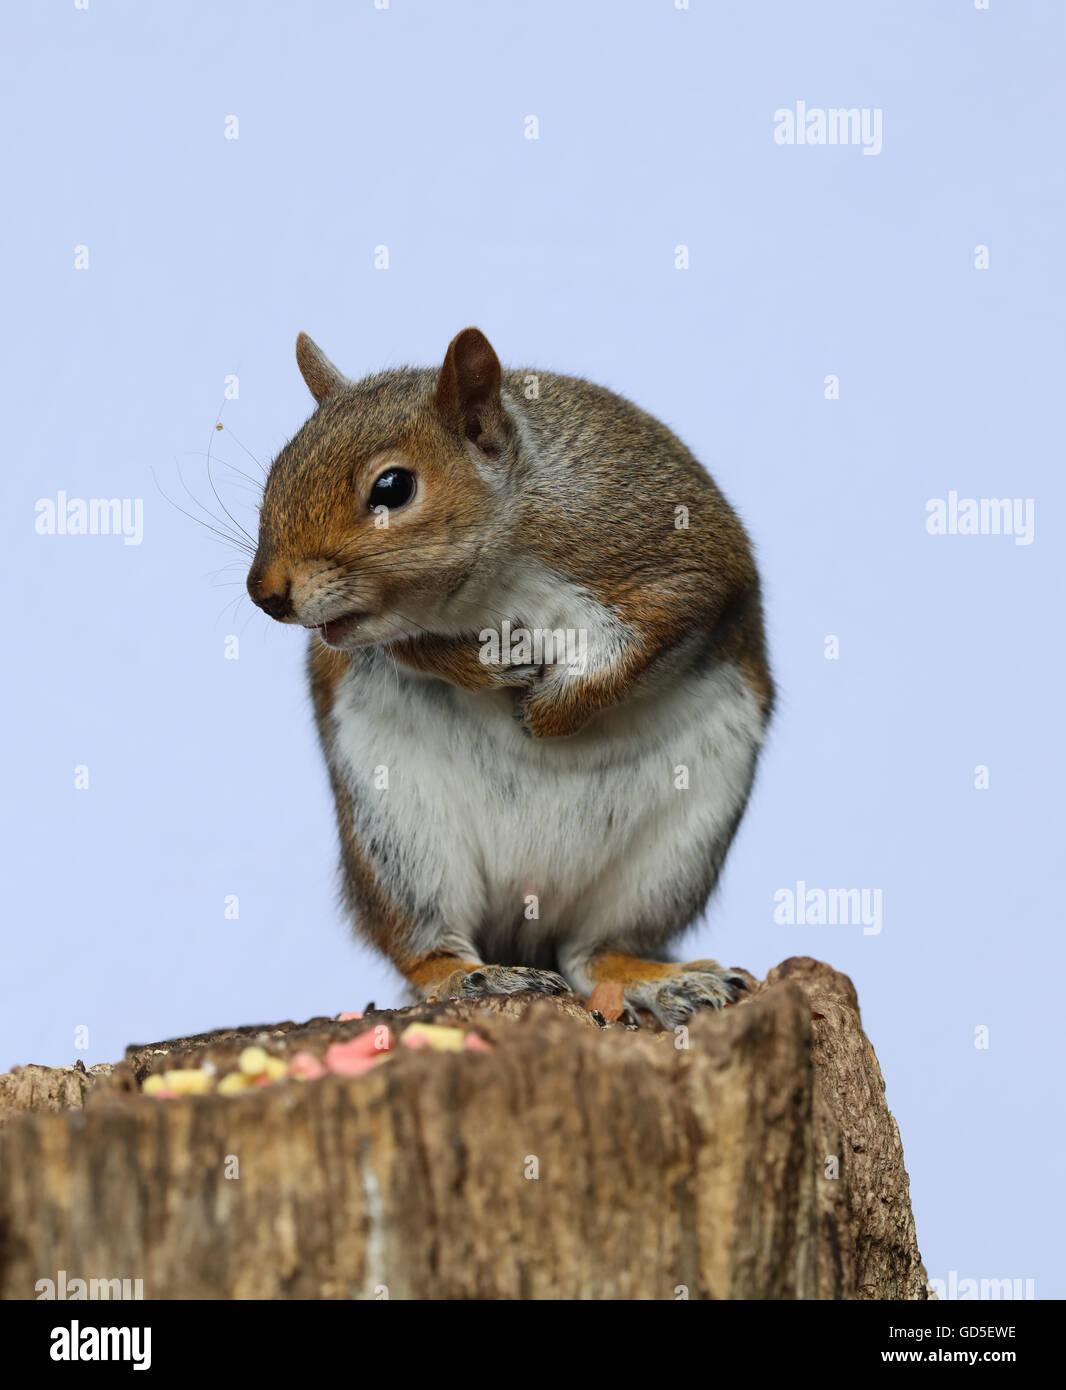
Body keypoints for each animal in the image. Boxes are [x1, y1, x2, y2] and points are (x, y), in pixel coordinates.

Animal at [247, 328, 773, 1027]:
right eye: (277, 469)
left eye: (392, 488)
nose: (264, 593)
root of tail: (528, 912)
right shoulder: (386, 638)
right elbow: (418, 652)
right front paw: (494, 665)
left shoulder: (674, 560)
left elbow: (651, 638)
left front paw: (549, 713)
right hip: (399, 838)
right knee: (427, 945)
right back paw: (475, 976)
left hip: (677, 848)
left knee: (595, 952)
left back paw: (661, 980)